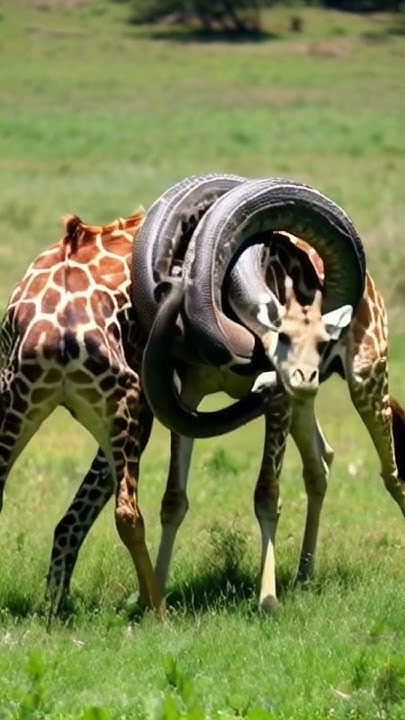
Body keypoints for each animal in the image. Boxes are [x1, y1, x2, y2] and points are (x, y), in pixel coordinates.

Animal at [0, 210, 163, 617]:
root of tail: (57, 335)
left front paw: (54, 600)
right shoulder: (140, 409)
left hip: (16, 401)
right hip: (119, 401)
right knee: (128, 513)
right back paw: (159, 609)